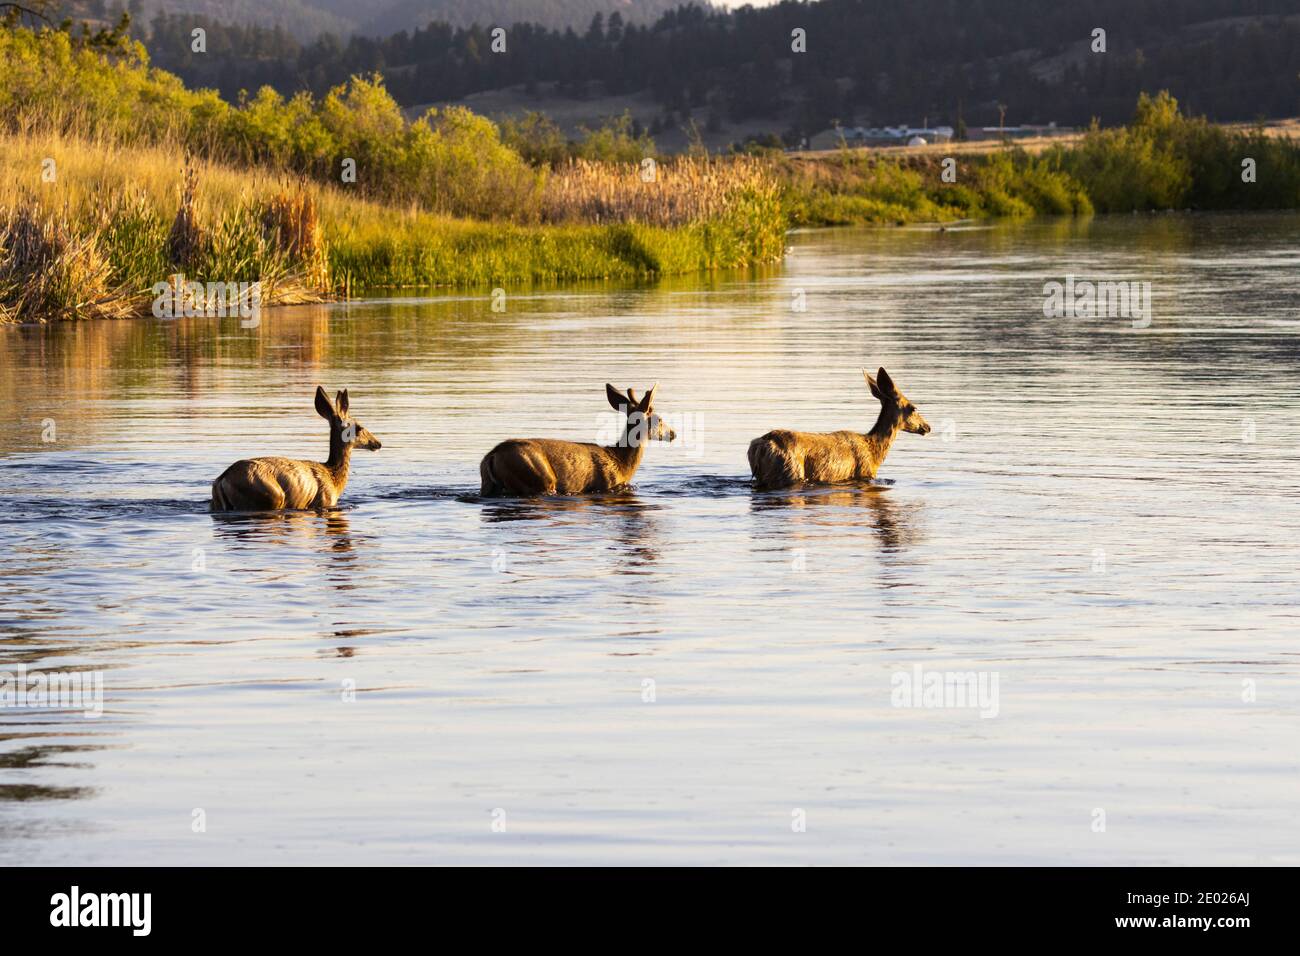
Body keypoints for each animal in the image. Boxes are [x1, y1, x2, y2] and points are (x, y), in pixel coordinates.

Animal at [210, 386, 382, 511]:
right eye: (359, 427)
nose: (378, 443)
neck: (333, 478)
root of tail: (221, 480)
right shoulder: (324, 501)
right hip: (270, 496)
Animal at [480, 384, 676, 496]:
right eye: (659, 419)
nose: (673, 433)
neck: (621, 462)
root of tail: (493, 455)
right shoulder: (607, 484)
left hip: (488, 483)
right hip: (537, 476)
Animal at [748, 367, 930, 490]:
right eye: (913, 408)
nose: (927, 427)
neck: (874, 453)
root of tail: (759, 447)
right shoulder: (863, 473)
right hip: (788, 471)